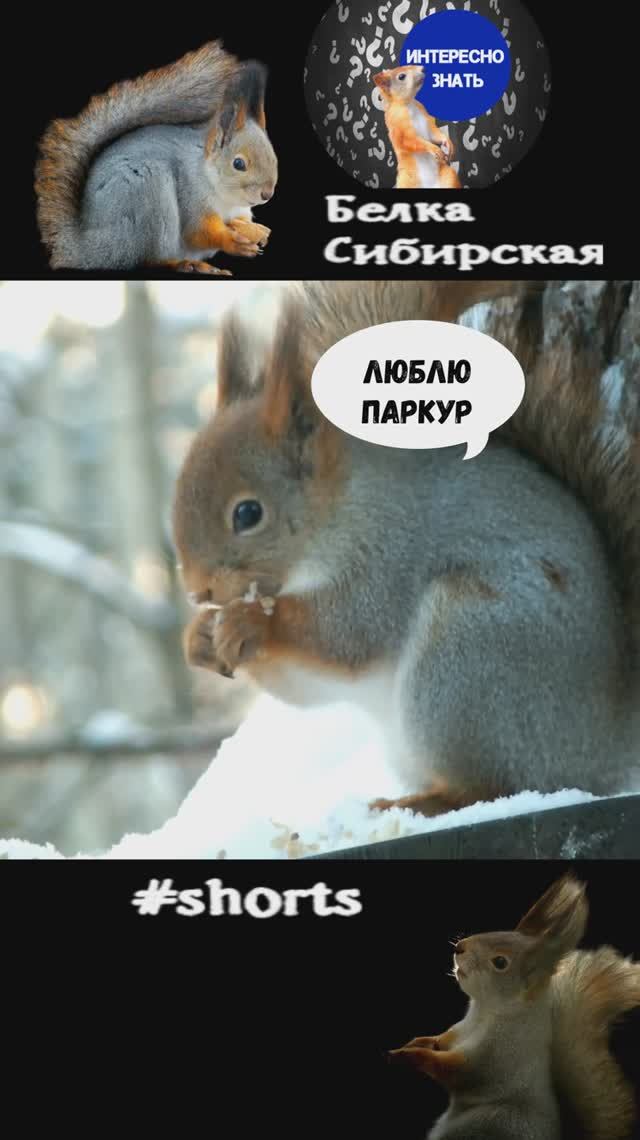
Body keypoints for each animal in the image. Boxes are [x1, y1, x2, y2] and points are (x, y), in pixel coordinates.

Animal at [34, 41, 278, 274]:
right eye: (238, 164)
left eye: (274, 159)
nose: (267, 194)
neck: (225, 196)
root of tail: (88, 246)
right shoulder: (192, 195)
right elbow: (198, 232)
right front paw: (233, 242)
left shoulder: (239, 210)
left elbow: (240, 221)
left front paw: (257, 231)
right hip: (149, 195)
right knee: (149, 258)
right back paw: (188, 265)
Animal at [172, 280, 640, 818]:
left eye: (248, 513)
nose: (198, 590)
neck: (340, 509)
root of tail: (602, 747)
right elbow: (307, 688)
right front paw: (199, 637)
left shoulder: (390, 552)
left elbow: (348, 631)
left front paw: (252, 621)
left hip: (470, 656)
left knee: (497, 784)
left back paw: (428, 802)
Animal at [389, 875, 640, 1140]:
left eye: (500, 962)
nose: (459, 947)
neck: (486, 1012)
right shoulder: (460, 1030)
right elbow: (441, 1041)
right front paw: (417, 1042)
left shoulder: (497, 1055)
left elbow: (456, 1071)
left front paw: (409, 1055)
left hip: (488, 1123)